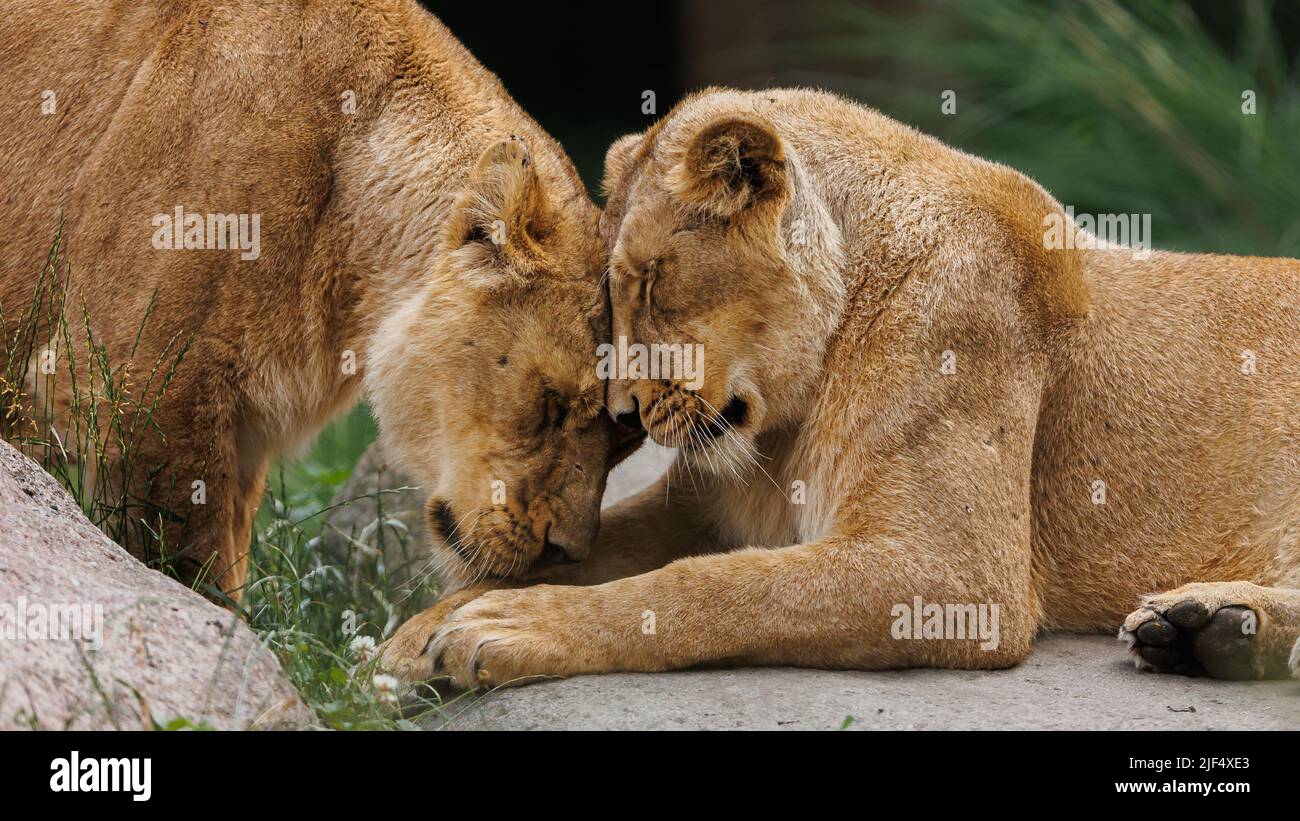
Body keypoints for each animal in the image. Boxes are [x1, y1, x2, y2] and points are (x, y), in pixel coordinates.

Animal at [0, 0, 626, 601]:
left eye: (624, 437)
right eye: (552, 405)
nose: (563, 555)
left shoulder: (238, 434)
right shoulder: (136, 387)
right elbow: (184, 567)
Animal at [384, 87, 1300, 688]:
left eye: (650, 282)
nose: (623, 414)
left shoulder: (957, 576)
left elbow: (713, 588)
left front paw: (510, 626)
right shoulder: (707, 504)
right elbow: (603, 548)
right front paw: (424, 628)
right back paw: (1209, 629)